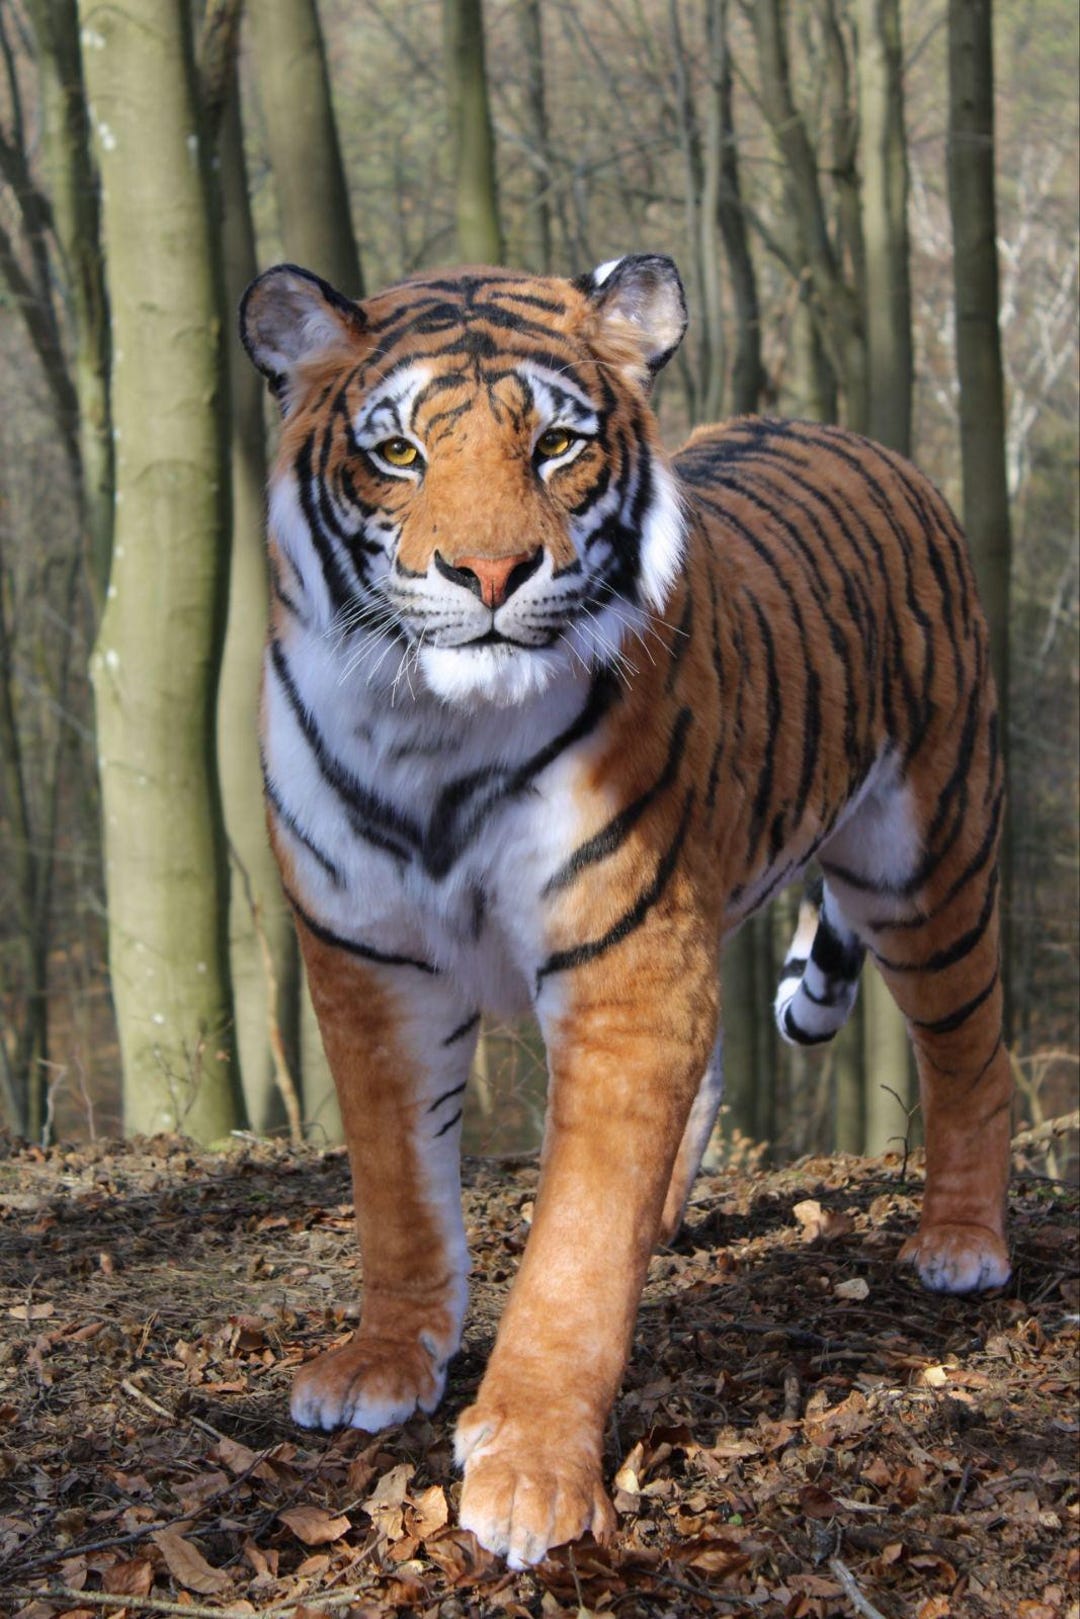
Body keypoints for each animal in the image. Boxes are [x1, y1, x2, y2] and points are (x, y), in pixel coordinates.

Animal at [240, 254, 1012, 1570]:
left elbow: (575, 1243)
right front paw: (386, 1359)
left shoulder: (626, 964)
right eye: (397, 453)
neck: (431, 730)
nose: (490, 575)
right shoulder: (370, 960)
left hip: (927, 861)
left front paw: (532, 1467)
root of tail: (857, 438)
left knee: (973, 1049)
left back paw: (964, 1240)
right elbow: (398, 1189)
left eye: (555, 444)